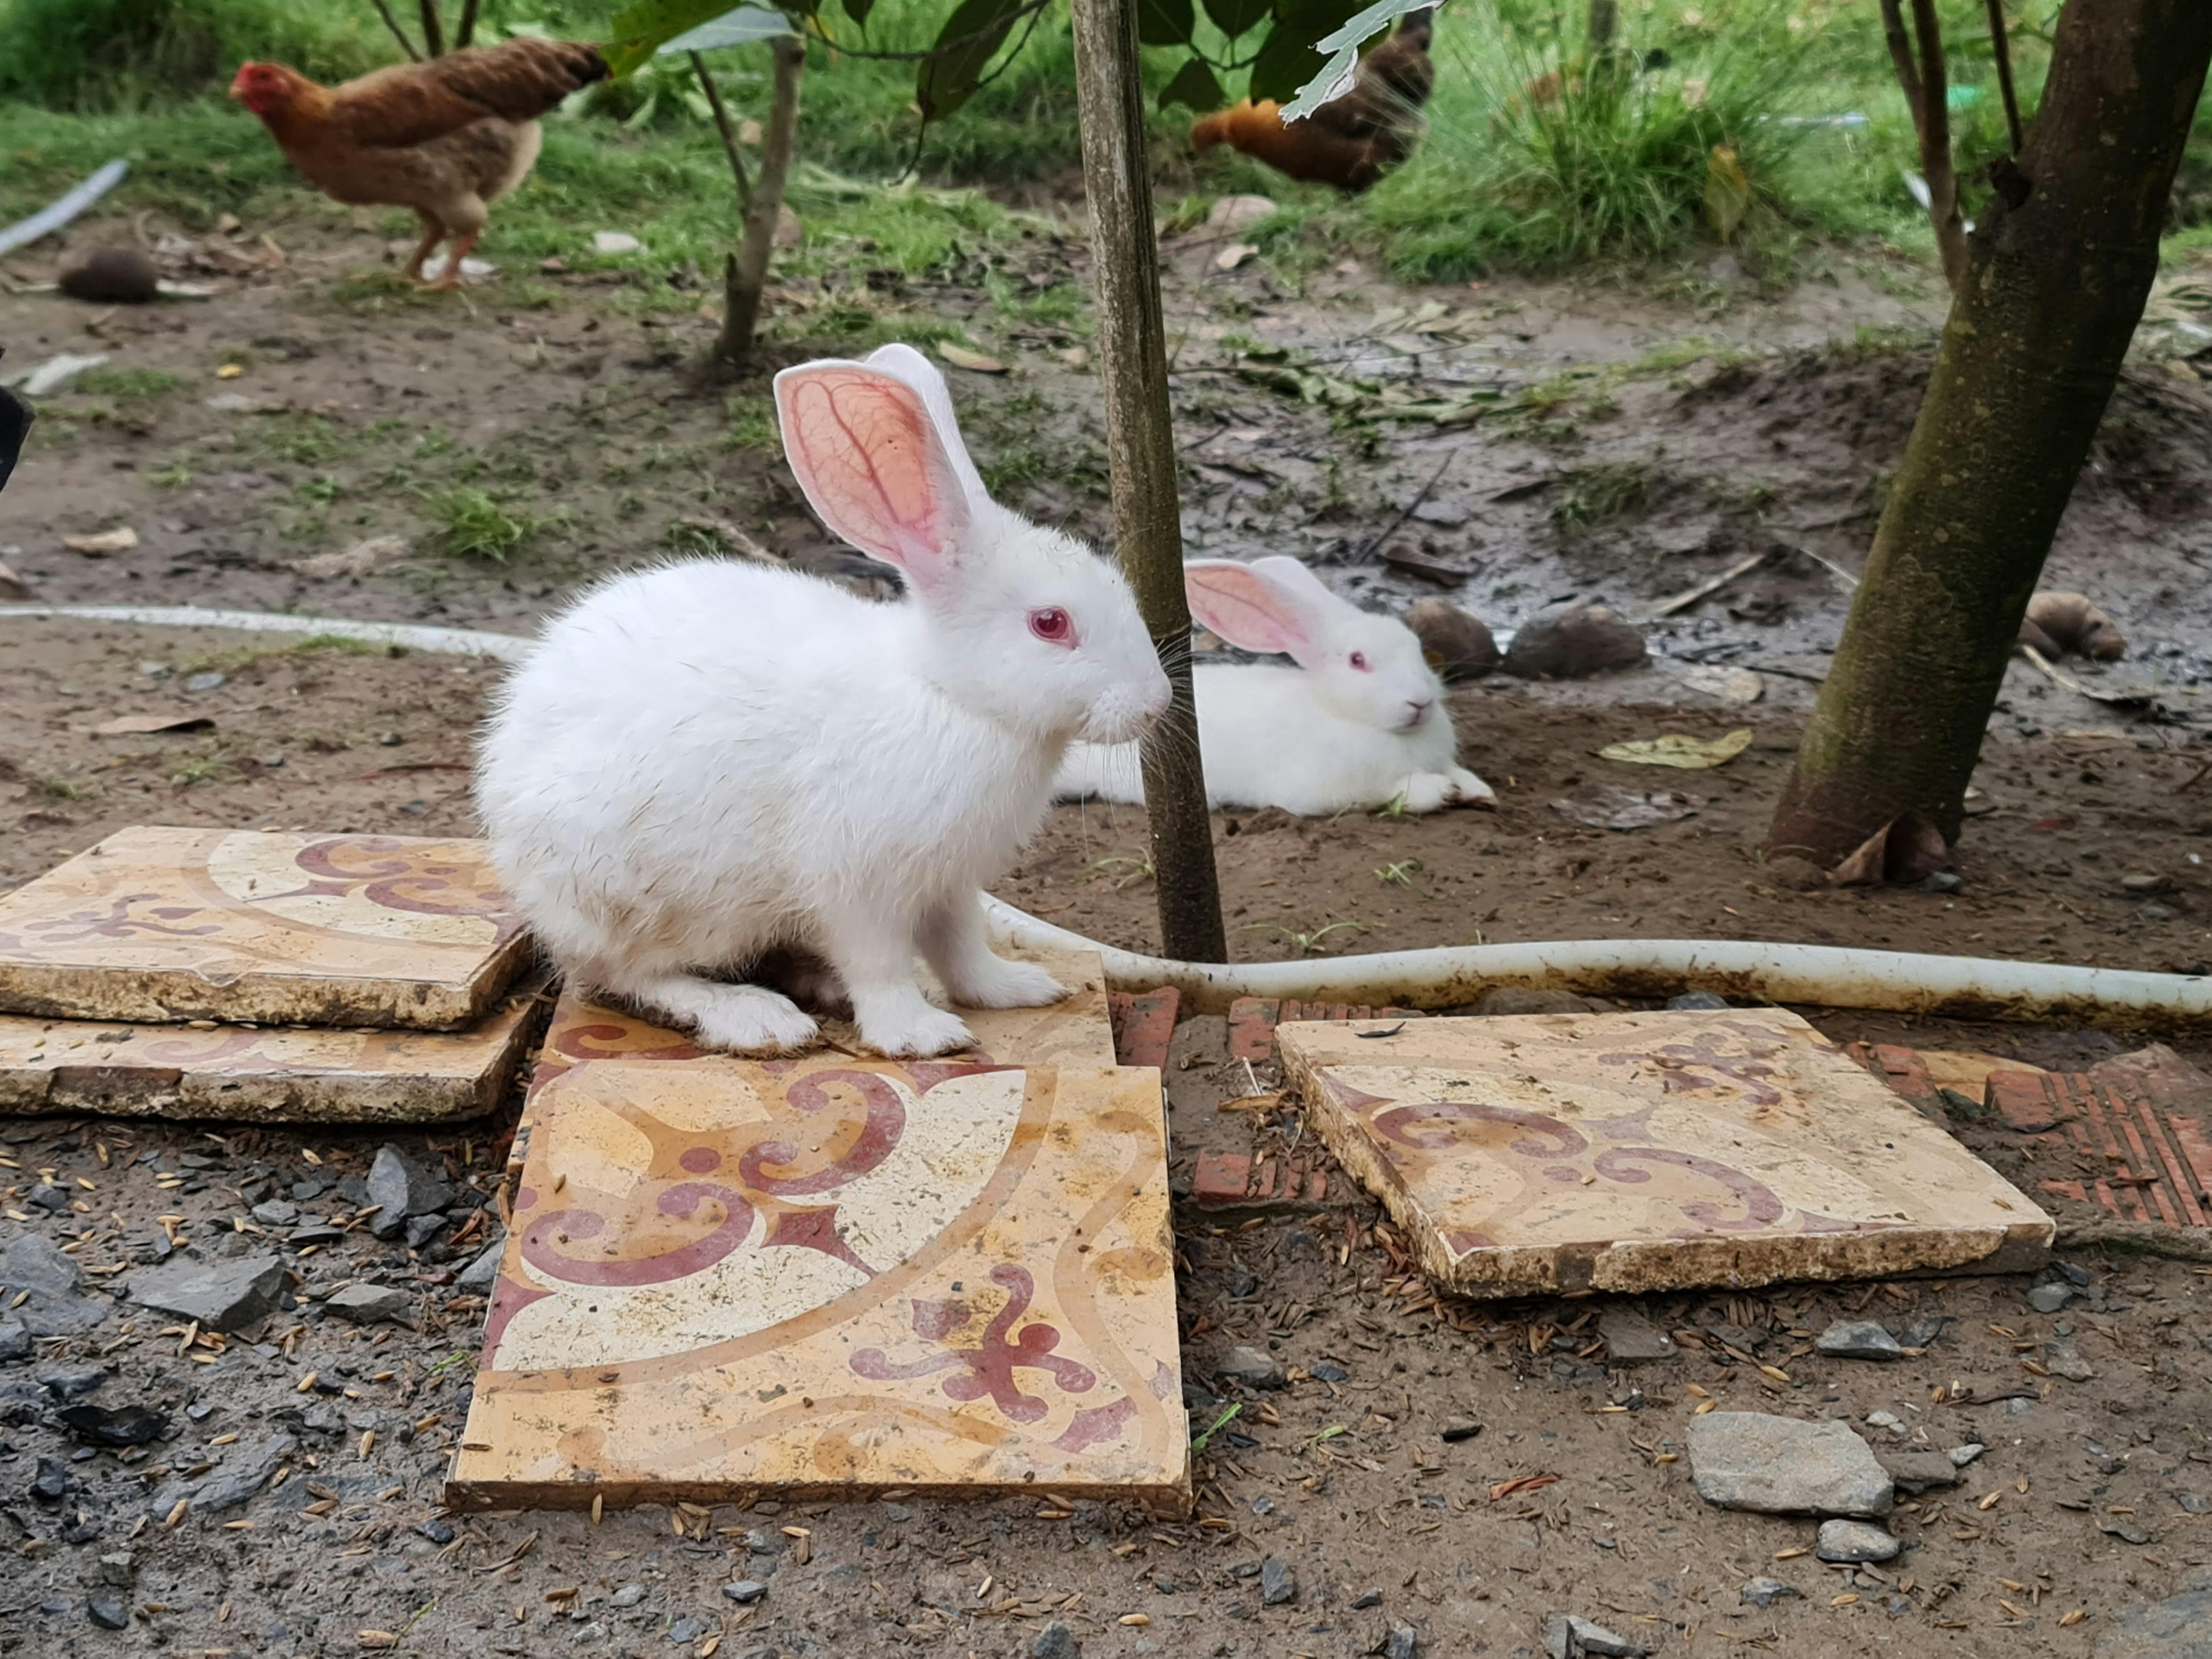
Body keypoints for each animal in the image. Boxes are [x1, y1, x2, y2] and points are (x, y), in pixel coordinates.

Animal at [476, 343, 1170, 1059]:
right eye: (1050, 624)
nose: (1156, 703)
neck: (950, 696)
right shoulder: (857, 884)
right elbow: (880, 963)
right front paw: (919, 1035)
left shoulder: (950, 884)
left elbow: (961, 948)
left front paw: (1015, 989)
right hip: (635, 902)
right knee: (628, 975)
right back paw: (755, 1017)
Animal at [1054, 555, 1493, 816]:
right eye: (1358, 661)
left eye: (1417, 648)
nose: (1420, 703)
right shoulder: (1322, 791)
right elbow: (1389, 791)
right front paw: (1440, 791)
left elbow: (1459, 770)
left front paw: (1478, 790)